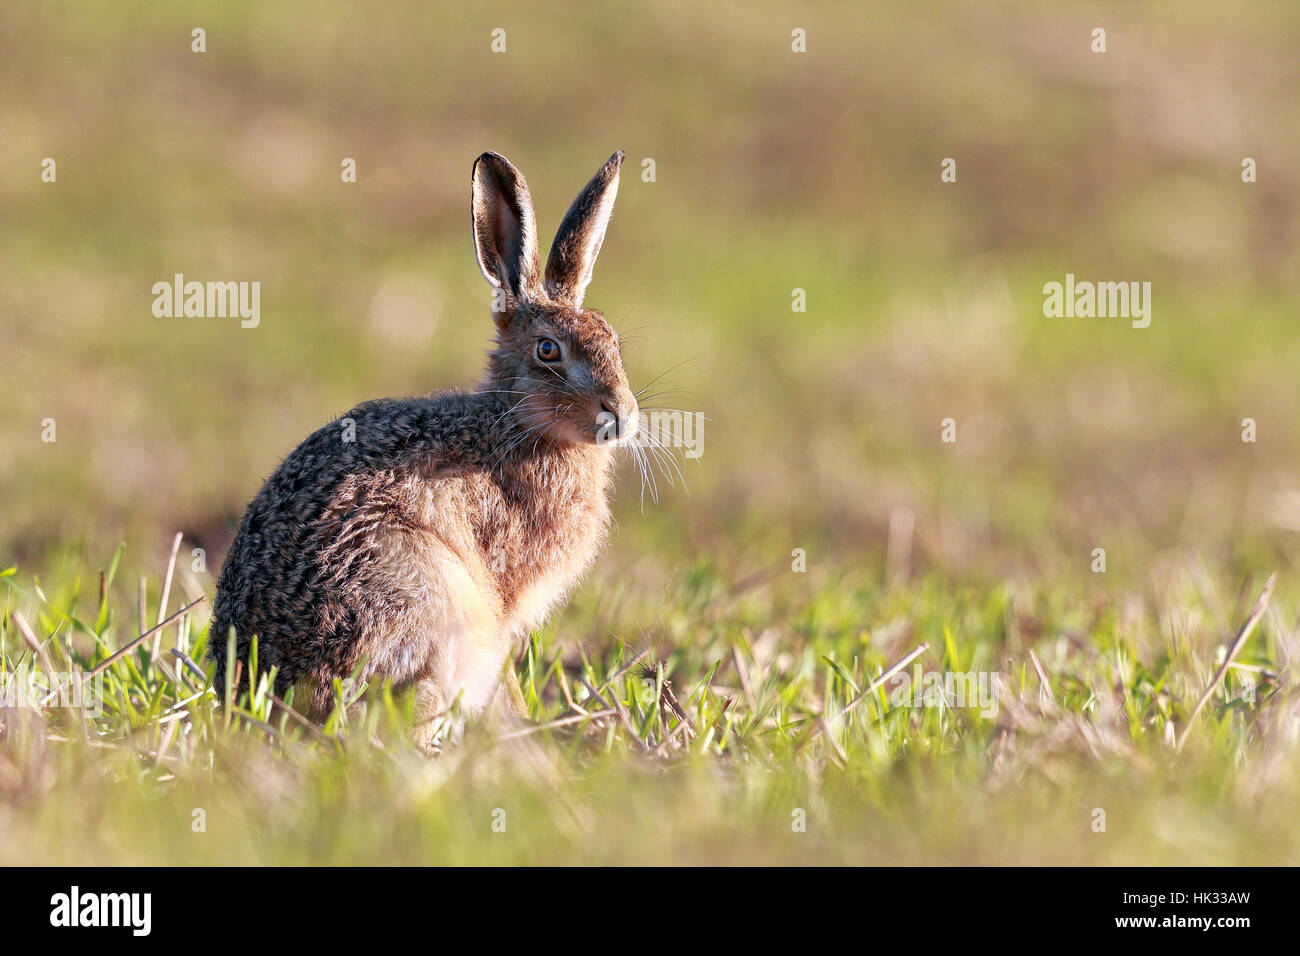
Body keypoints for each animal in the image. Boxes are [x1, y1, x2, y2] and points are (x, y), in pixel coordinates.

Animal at [209, 150, 638, 746]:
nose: (620, 414)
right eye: (548, 350)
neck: (513, 423)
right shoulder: (501, 595)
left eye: (613, 342)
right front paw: (522, 725)